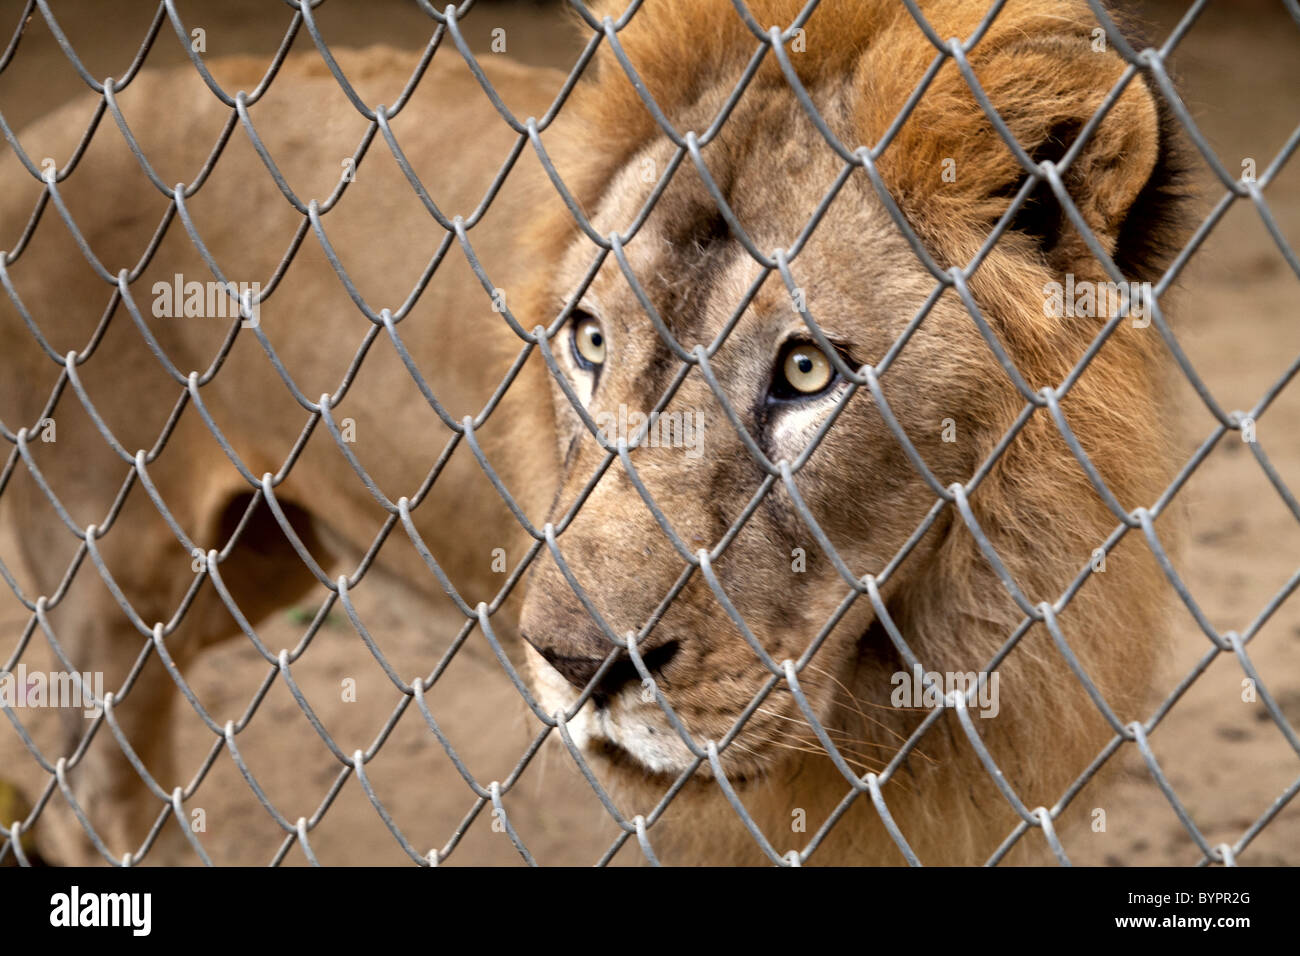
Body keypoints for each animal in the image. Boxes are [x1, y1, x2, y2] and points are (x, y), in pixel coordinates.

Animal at [0, 0, 1190, 866]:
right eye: (588, 341)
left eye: (805, 370)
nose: (577, 664)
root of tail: (39, 142)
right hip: (113, 563)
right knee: (94, 782)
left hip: (245, 564)